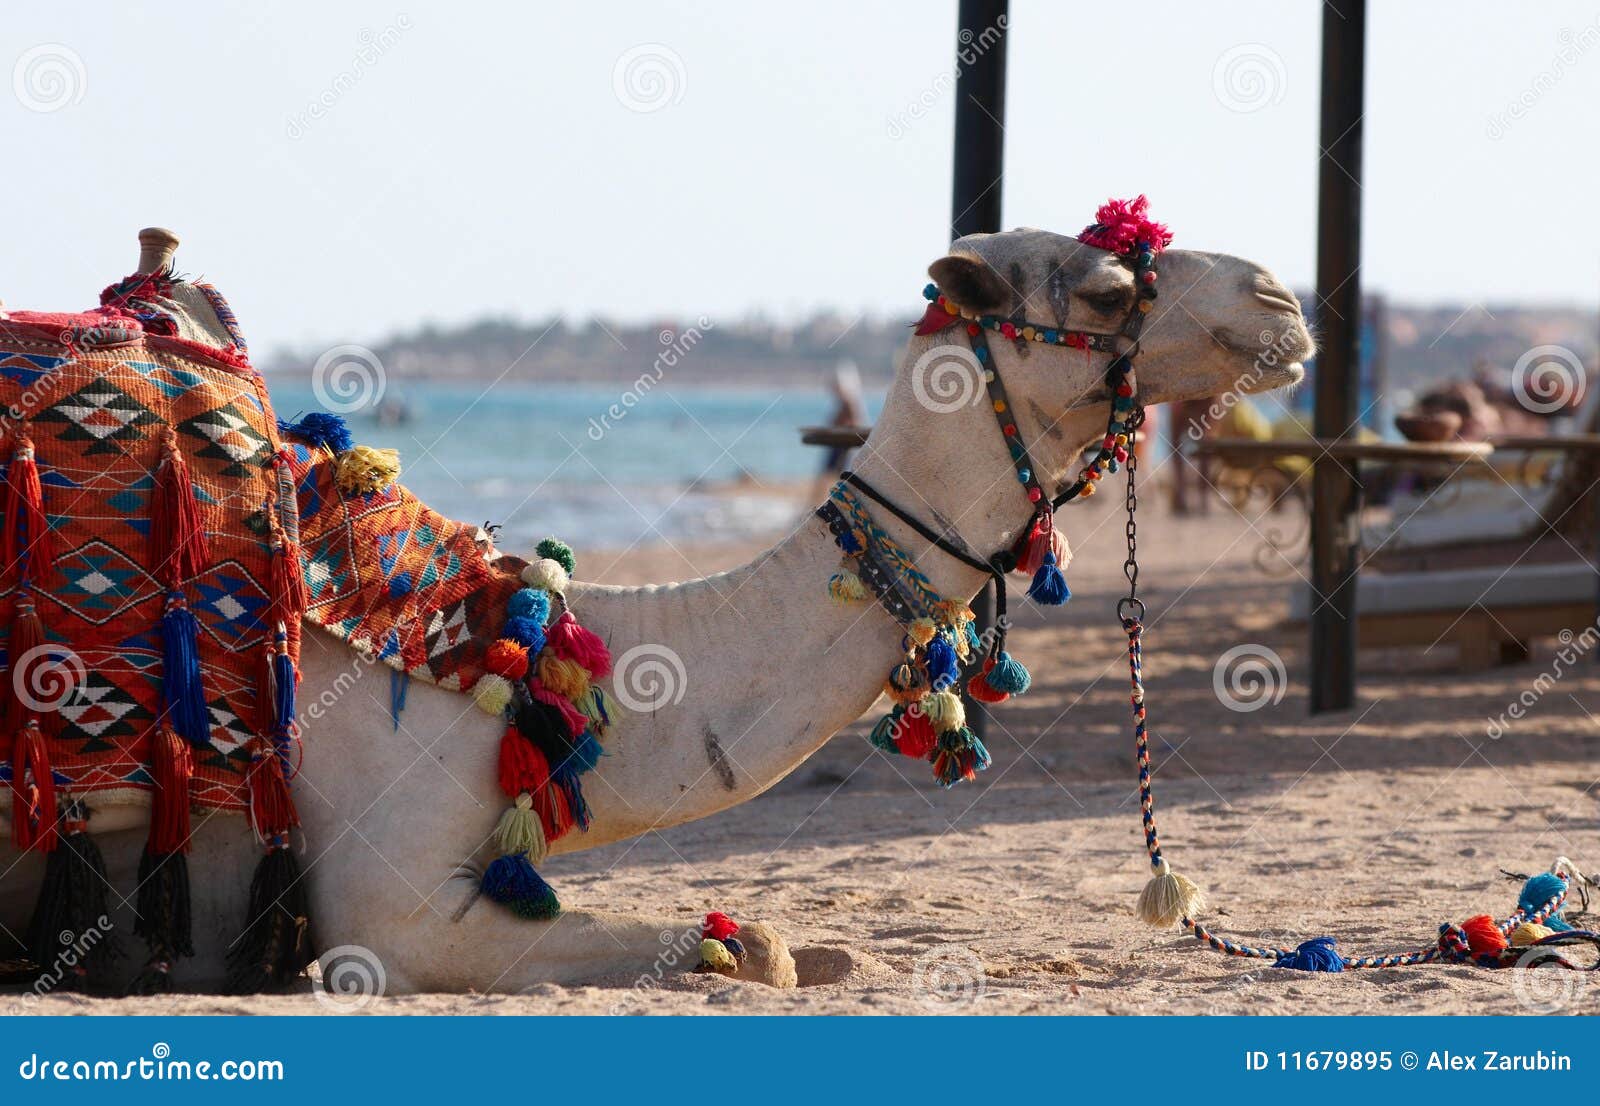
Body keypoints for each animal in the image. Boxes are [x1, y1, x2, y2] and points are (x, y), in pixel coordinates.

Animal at [0, 222, 1311, 995]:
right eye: (1107, 286)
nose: (1280, 299)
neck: (507, 661)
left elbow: (791, 945)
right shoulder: (390, 911)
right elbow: (747, 946)